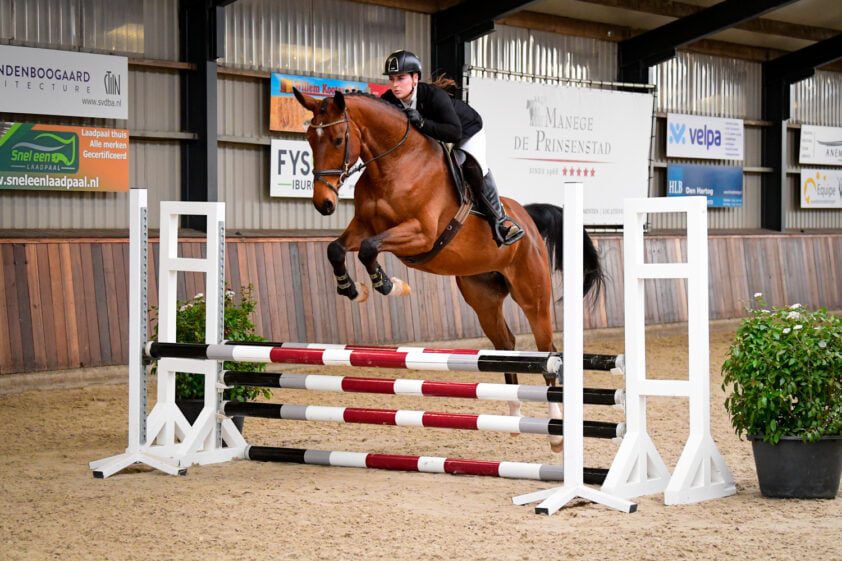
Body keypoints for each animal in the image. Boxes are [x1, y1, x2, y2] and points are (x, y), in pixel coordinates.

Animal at [292, 88, 604, 454]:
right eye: (309, 139)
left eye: (339, 139)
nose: (323, 204)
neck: (393, 164)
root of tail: (526, 219)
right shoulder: (363, 227)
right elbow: (336, 249)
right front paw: (352, 289)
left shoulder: (420, 233)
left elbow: (370, 249)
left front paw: (388, 284)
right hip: (482, 298)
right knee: (506, 343)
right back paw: (514, 415)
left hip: (533, 296)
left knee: (547, 355)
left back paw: (556, 435)